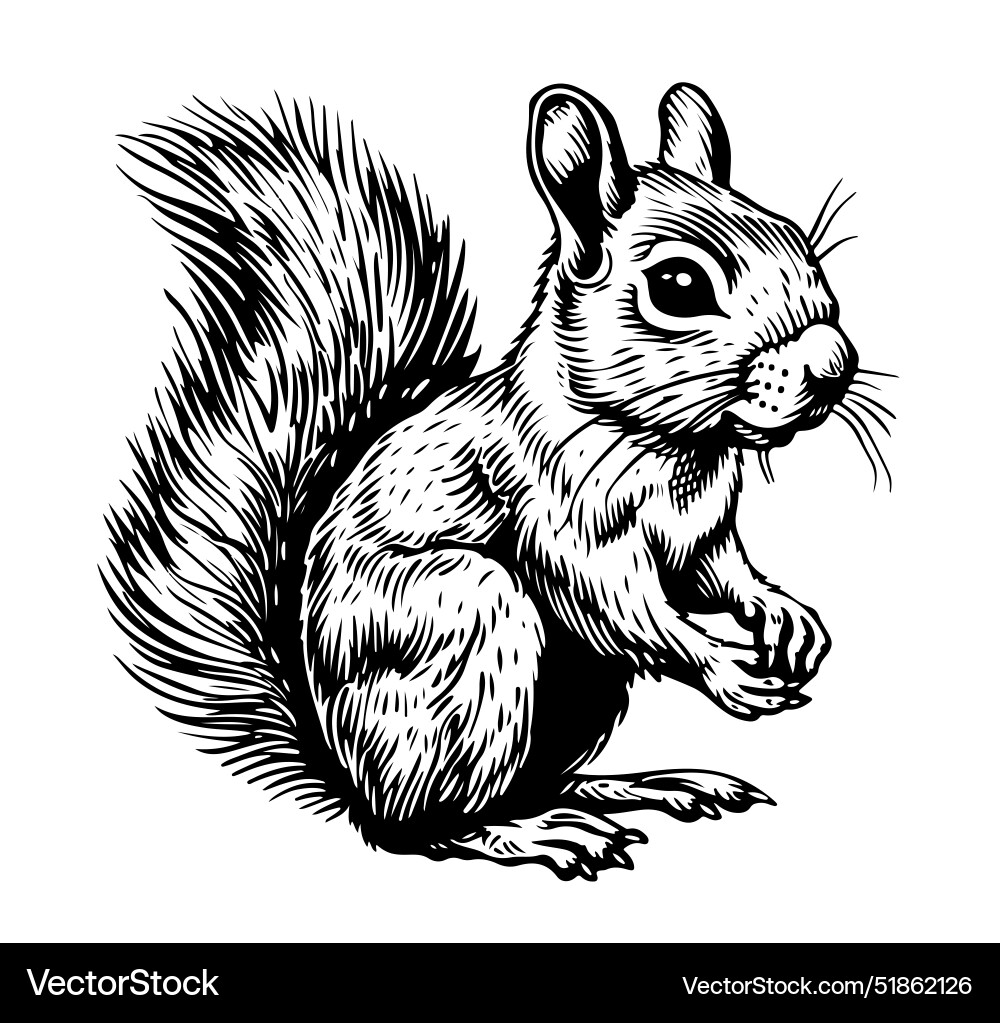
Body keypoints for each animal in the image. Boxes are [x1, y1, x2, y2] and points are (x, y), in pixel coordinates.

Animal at [106, 84, 883, 880]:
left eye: (800, 242)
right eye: (678, 285)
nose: (834, 366)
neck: (674, 445)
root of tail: (342, 763)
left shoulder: (703, 535)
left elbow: (721, 576)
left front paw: (786, 617)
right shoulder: (560, 514)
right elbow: (617, 607)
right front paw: (724, 666)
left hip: (579, 700)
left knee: (539, 780)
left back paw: (648, 787)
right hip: (476, 623)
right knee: (426, 825)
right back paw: (546, 833)